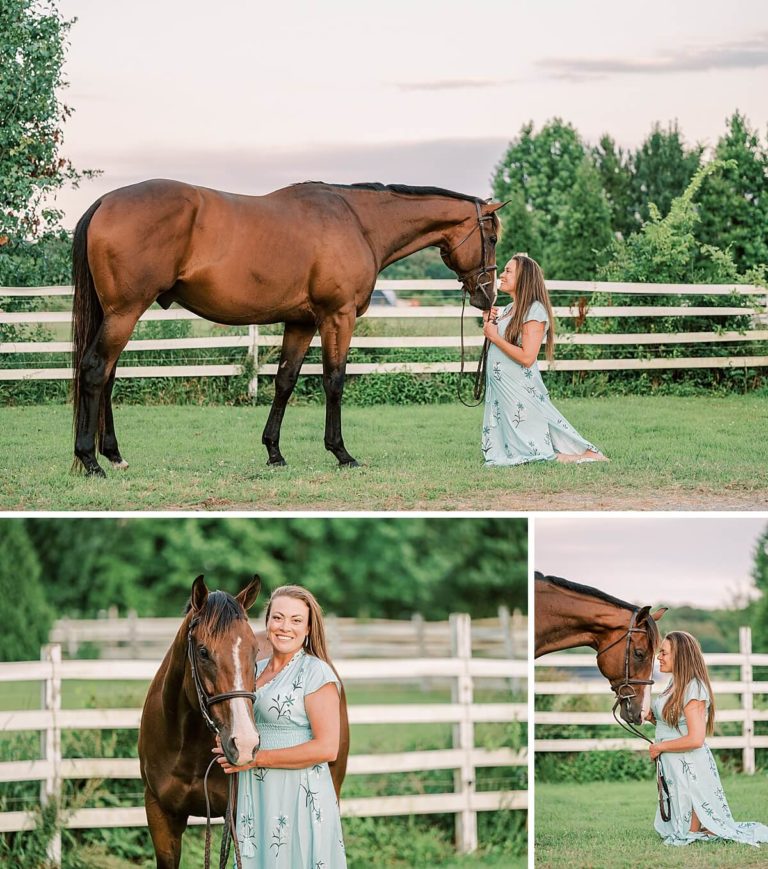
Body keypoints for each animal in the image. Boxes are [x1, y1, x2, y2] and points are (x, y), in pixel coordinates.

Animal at [71, 180, 504, 476]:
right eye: (492, 236)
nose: (489, 295)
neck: (358, 222)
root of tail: (105, 202)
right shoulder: (337, 317)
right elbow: (334, 380)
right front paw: (341, 452)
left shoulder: (301, 322)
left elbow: (285, 381)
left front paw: (274, 452)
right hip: (124, 313)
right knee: (95, 370)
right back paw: (90, 460)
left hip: (117, 314)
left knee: (107, 376)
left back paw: (113, 454)